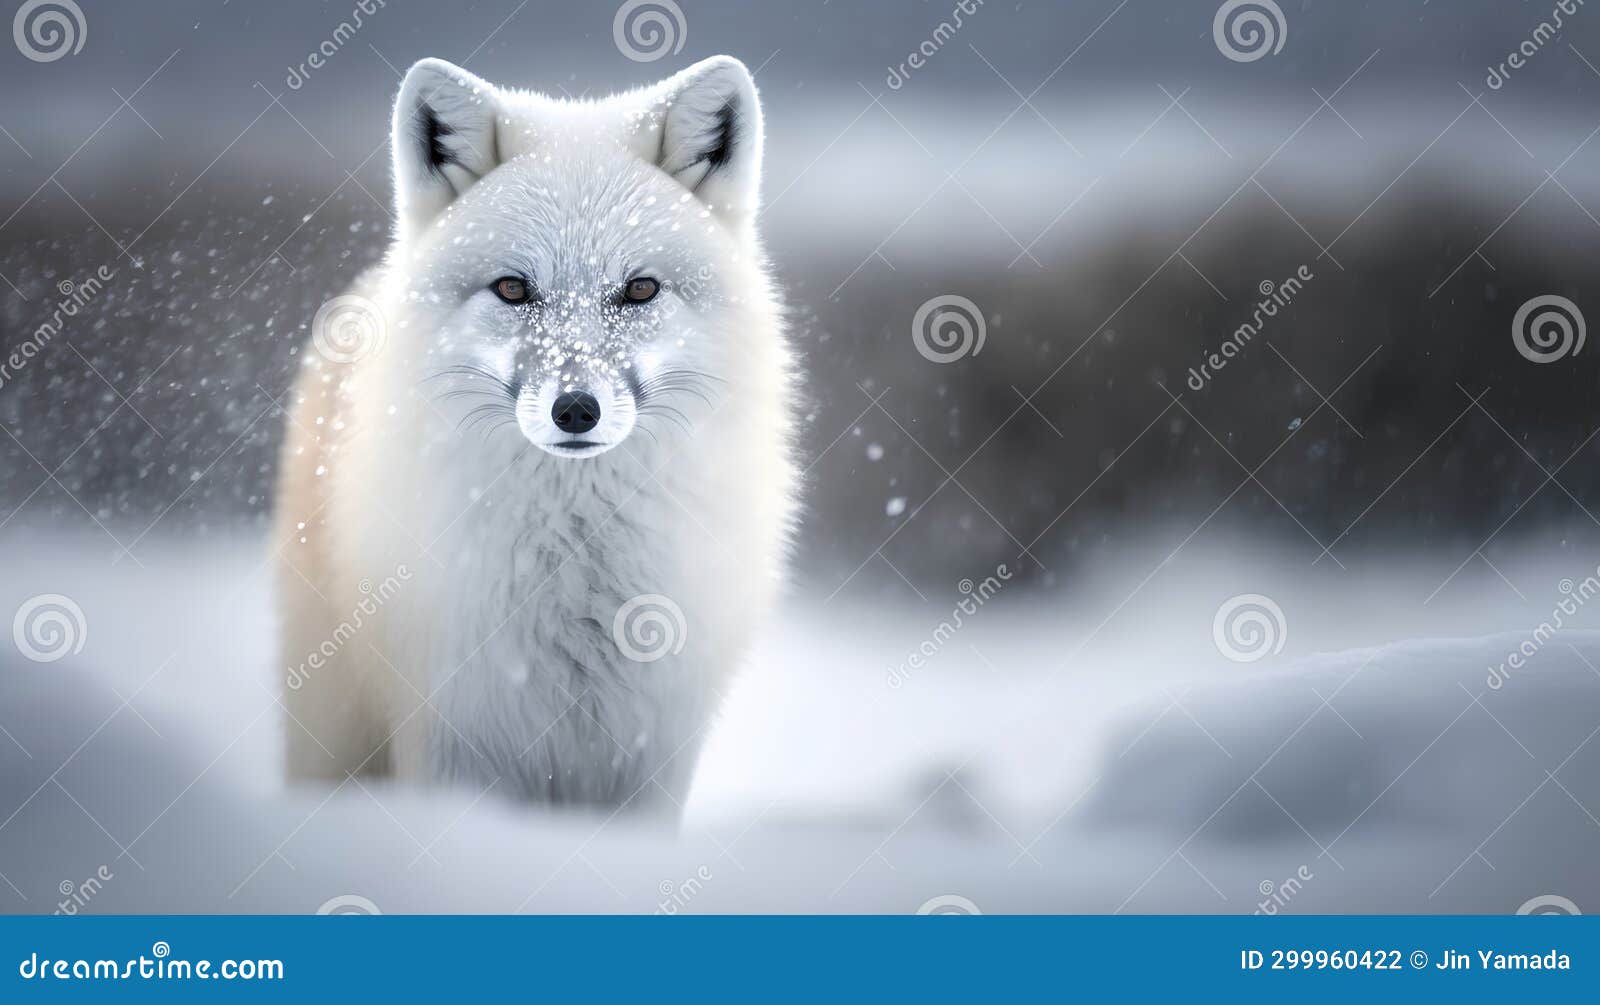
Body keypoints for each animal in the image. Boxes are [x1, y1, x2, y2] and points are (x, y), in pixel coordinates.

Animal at [273, 55, 797, 815]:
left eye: (640, 290)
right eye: (514, 289)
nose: (575, 410)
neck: (575, 573)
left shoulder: (653, 753)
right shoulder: (456, 734)